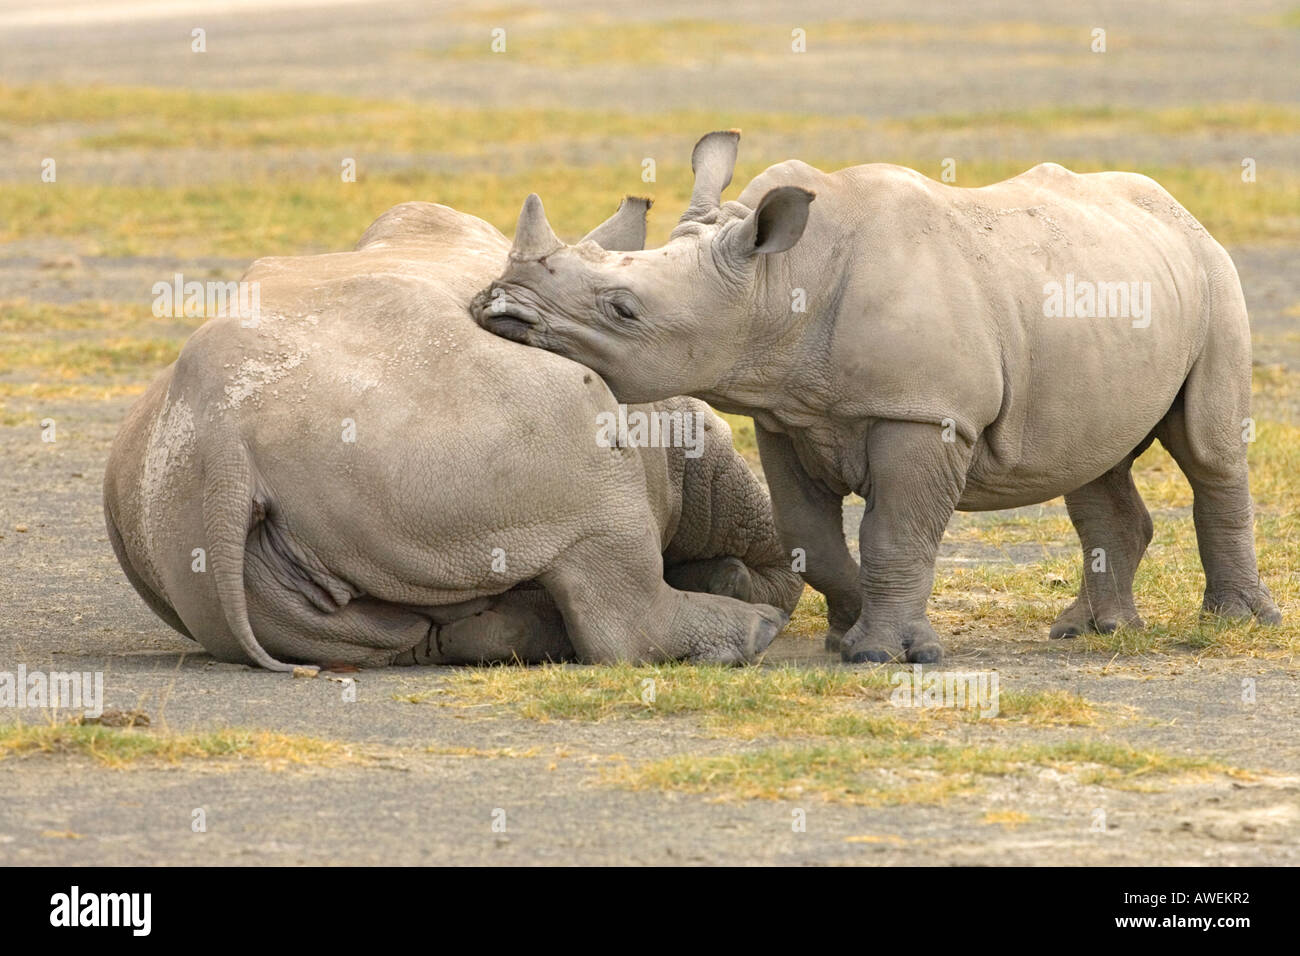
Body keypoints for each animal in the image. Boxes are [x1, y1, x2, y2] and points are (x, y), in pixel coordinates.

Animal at [104, 197, 800, 672]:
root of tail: (225, 447)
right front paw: (746, 583)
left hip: (188, 514)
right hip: (456, 432)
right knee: (609, 527)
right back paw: (755, 629)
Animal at [472, 130, 1282, 664]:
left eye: (625, 310)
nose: (496, 307)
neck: (776, 283)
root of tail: (1177, 211)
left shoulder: (923, 412)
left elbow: (896, 531)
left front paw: (884, 654)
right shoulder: (787, 413)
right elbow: (812, 537)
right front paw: (851, 632)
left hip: (1214, 274)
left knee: (1208, 451)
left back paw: (1237, 625)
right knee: (1090, 462)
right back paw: (1090, 631)